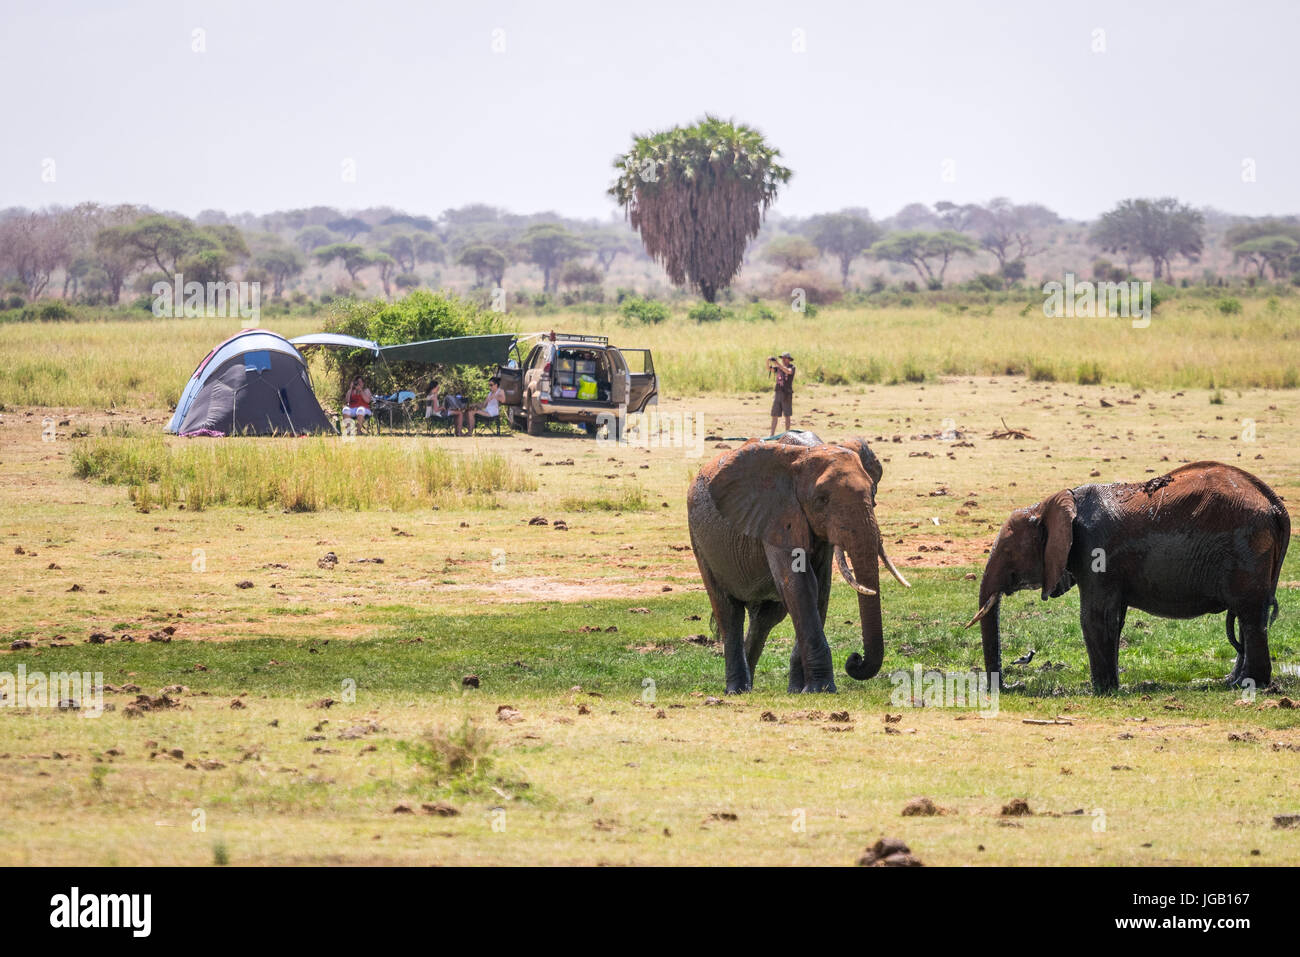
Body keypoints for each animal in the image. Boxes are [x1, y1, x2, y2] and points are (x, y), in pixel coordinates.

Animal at [687, 431, 910, 694]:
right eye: (821, 499)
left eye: (873, 493)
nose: (854, 659)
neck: (805, 455)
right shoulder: (778, 515)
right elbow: (800, 586)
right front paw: (821, 689)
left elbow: (820, 589)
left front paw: (800, 690)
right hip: (700, 543)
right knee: (728, 611)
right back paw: (737, 690)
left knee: (765, 618)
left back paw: (751, 686)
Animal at [968, 461, 1290, 692]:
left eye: (1008, 551)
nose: (1015, 684)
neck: (1052, 503)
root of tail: (1276, 504)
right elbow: (1114, 619)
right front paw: (1110, 686)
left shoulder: (1095, 550)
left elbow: (1095, 617)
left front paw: (1101, 691)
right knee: (1248, 616)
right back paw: (1230, 682)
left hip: (1247, 545)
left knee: (1249, 615)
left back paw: (1251, 685)